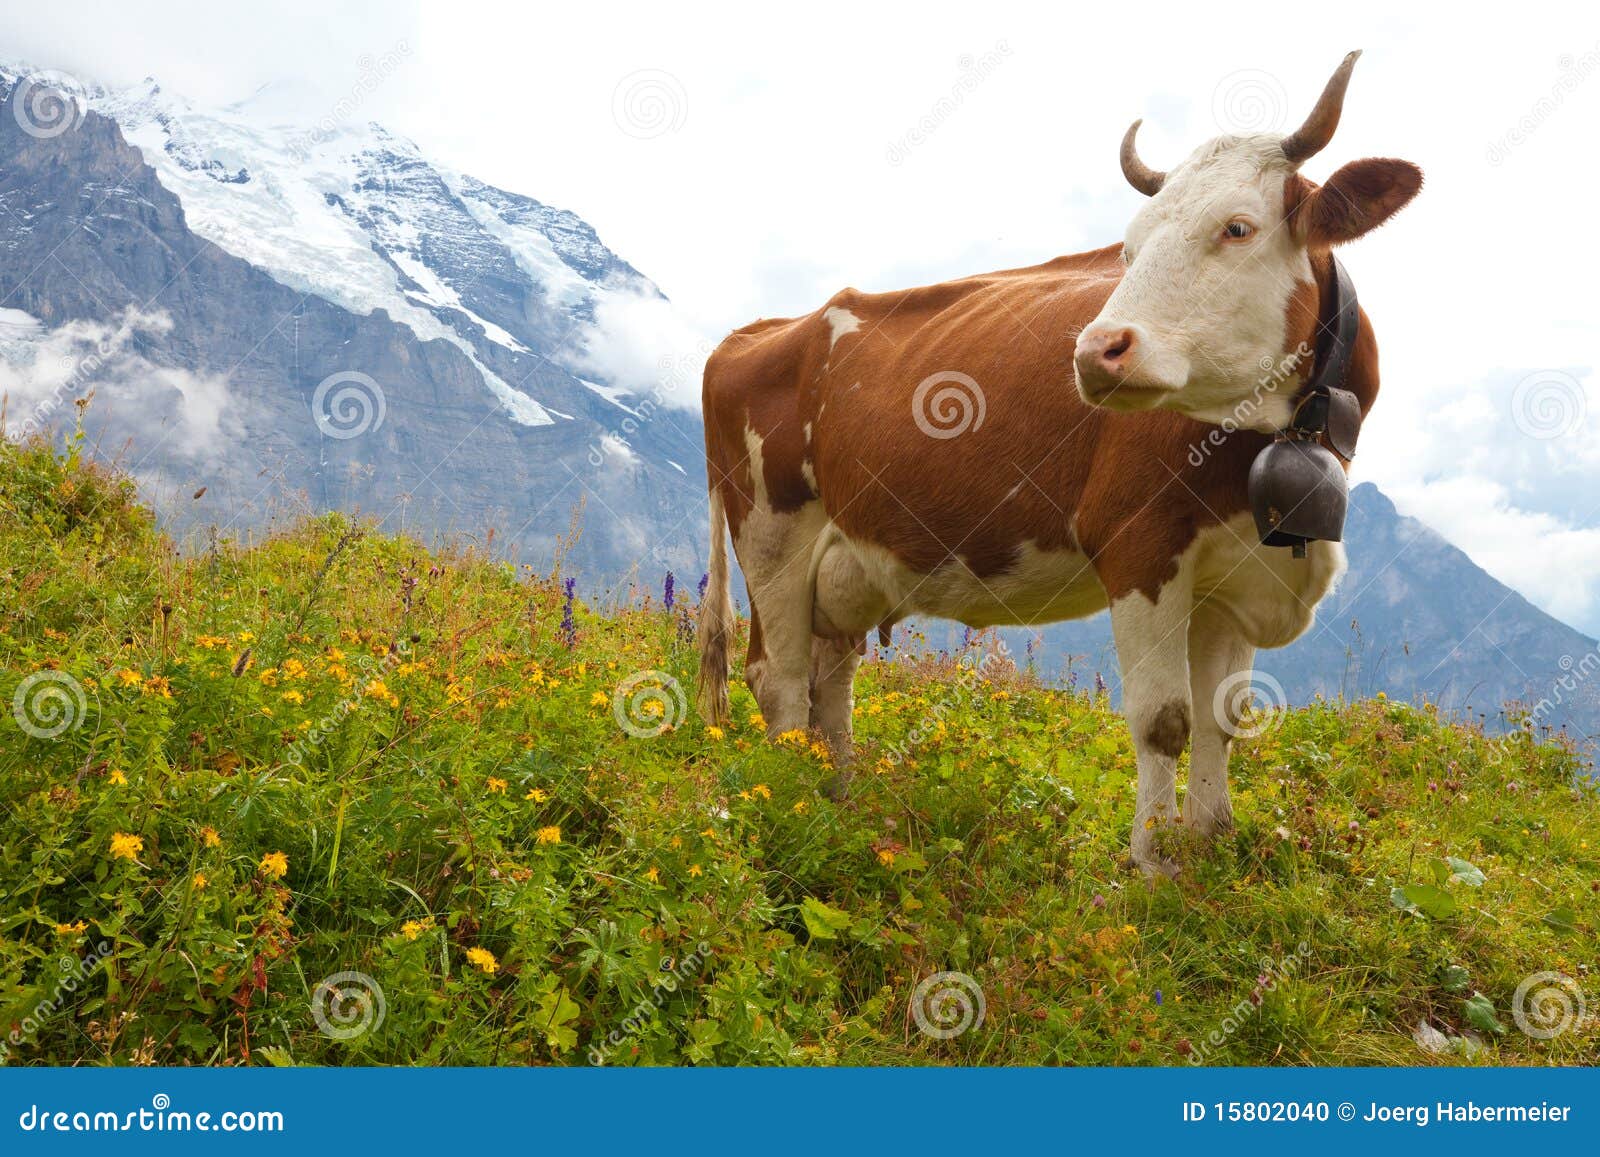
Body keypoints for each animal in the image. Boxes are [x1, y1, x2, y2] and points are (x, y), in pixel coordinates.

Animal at [695, 52, 1421, 874]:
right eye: (1128, 249)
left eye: (1238, 227)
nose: (1096, 350)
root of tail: (765, 329)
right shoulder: (1139, 546)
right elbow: (1163, 719)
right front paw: (1153, 865)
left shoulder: (1234, 574)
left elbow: (1222, 719)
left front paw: (1213, 849)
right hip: (771, 535)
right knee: (779, 678)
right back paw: (789, 798)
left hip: (846, 561)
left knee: (831, 676)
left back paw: (838, 800)